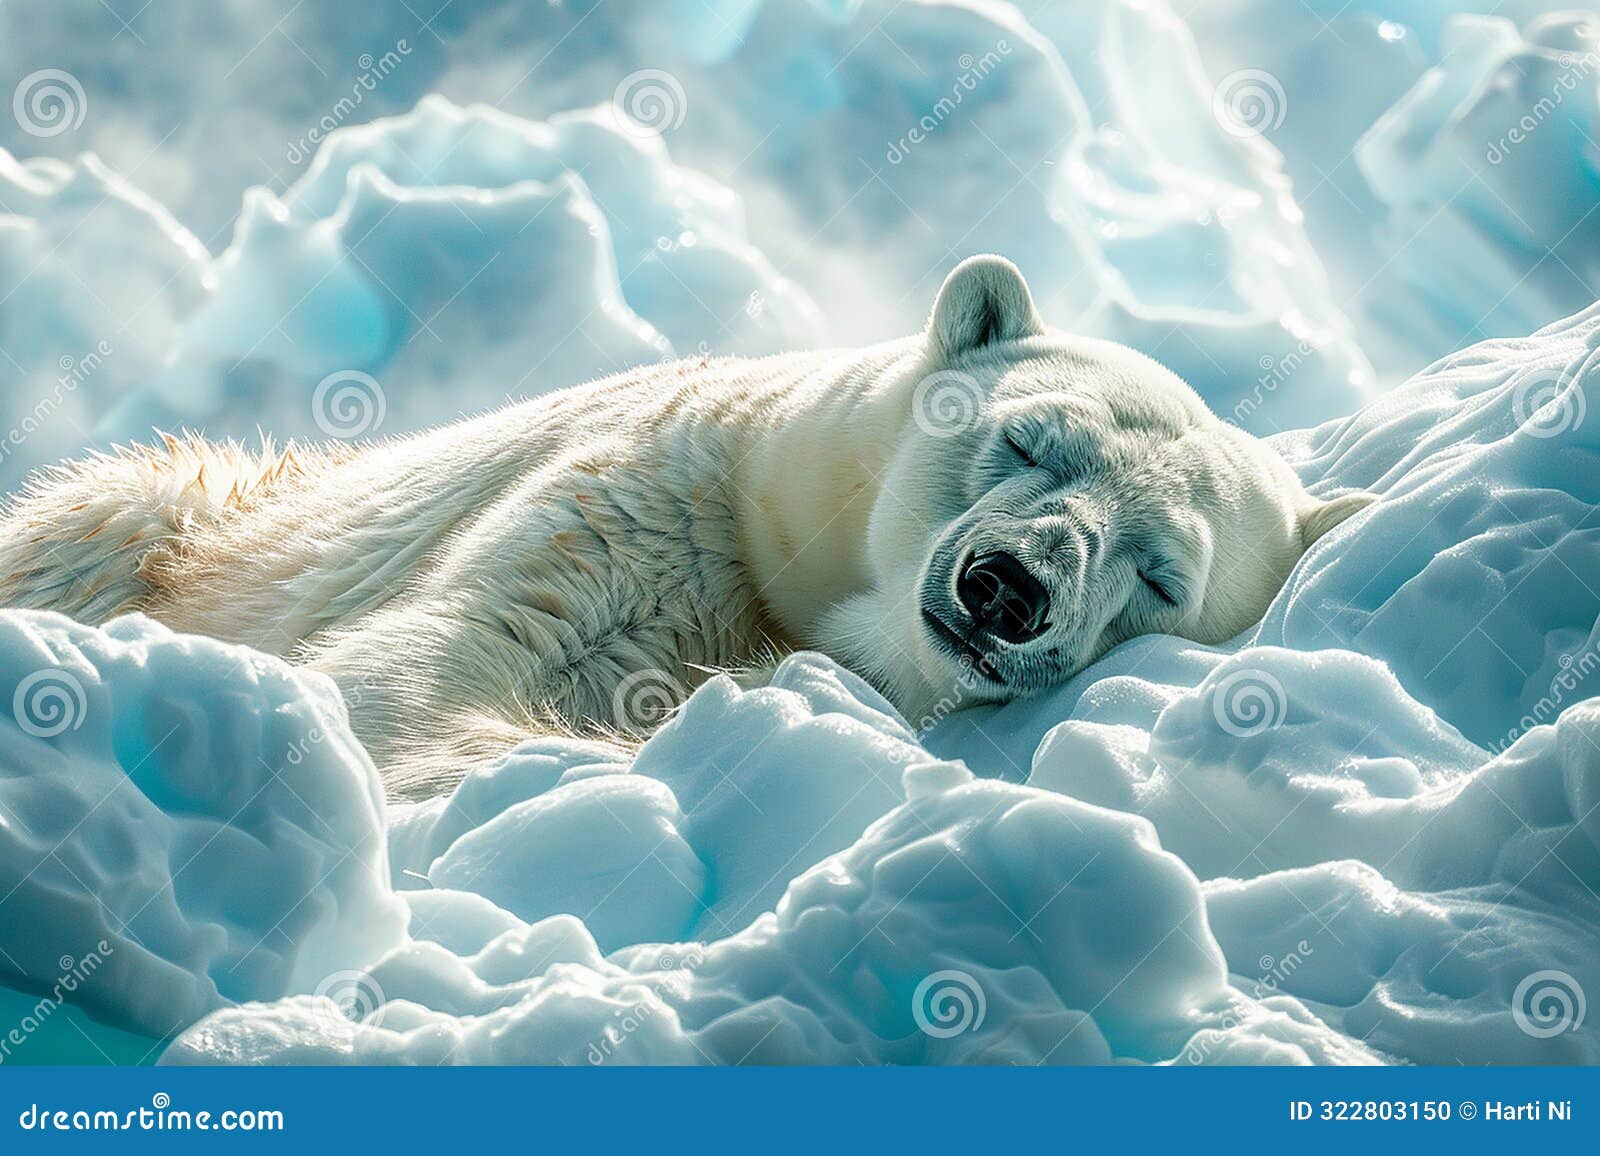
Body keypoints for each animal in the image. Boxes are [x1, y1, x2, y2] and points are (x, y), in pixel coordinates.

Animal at [0, 256, 1373, 797]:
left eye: (1162, 574)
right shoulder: (652, 497)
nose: (1007, 586)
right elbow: (431, 671)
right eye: (1030, 440)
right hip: (193, 514)